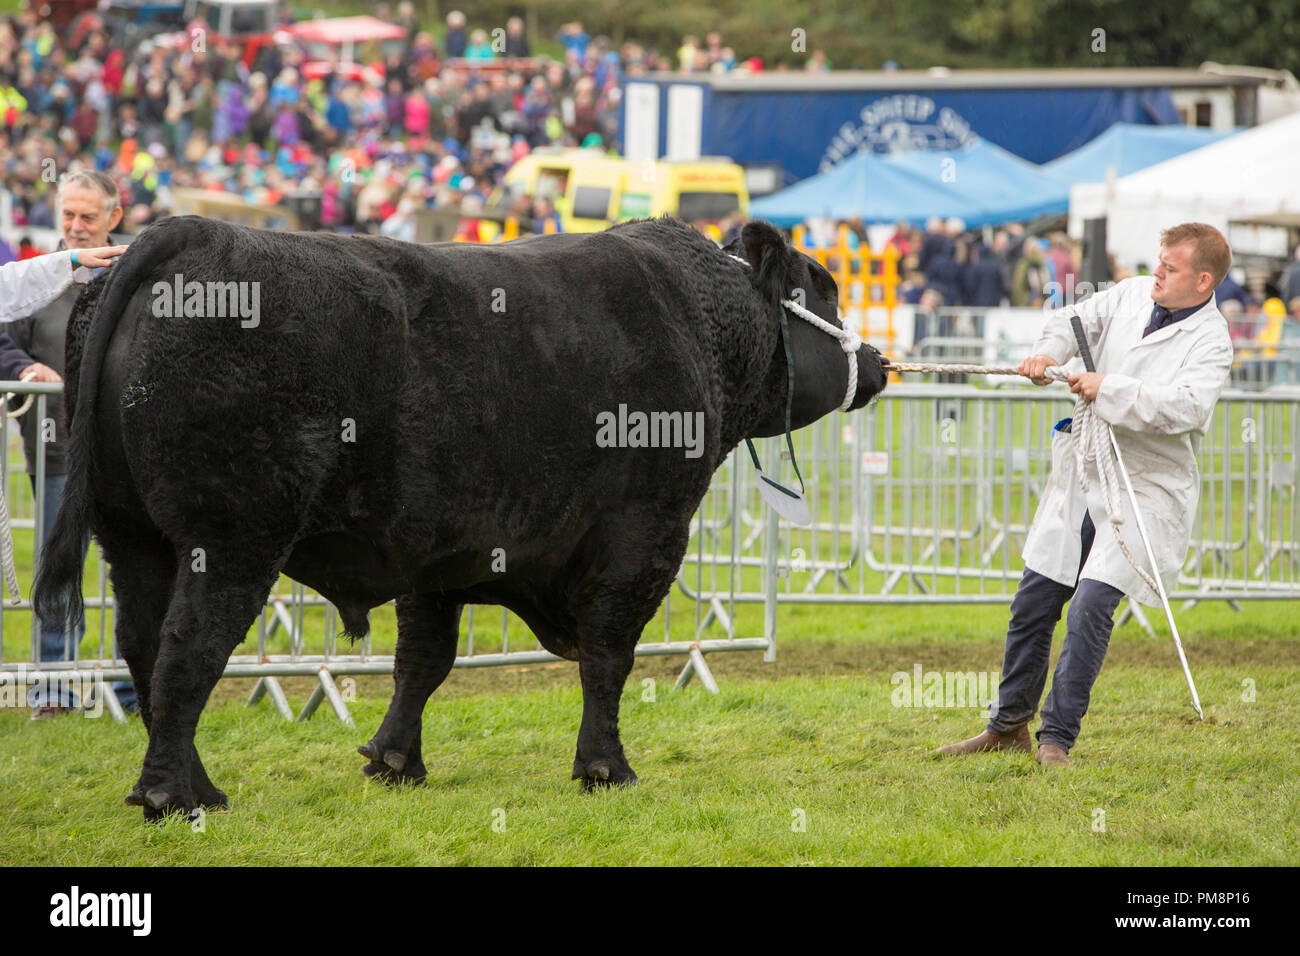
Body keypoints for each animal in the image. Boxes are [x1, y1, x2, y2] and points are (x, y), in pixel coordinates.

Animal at [34, 215, 888, 820]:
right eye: (823, 288)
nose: (880, 362)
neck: (701, 325)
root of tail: (194, 232)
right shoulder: (644, 535)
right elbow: (609, 655)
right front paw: (605, 768)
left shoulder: (437, 548)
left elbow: (423, 661)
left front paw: (393, 760)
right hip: (231, 539)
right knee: (188, 650)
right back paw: (172, 797)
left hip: (133, 538)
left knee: (142, 646)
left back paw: (196, 785)